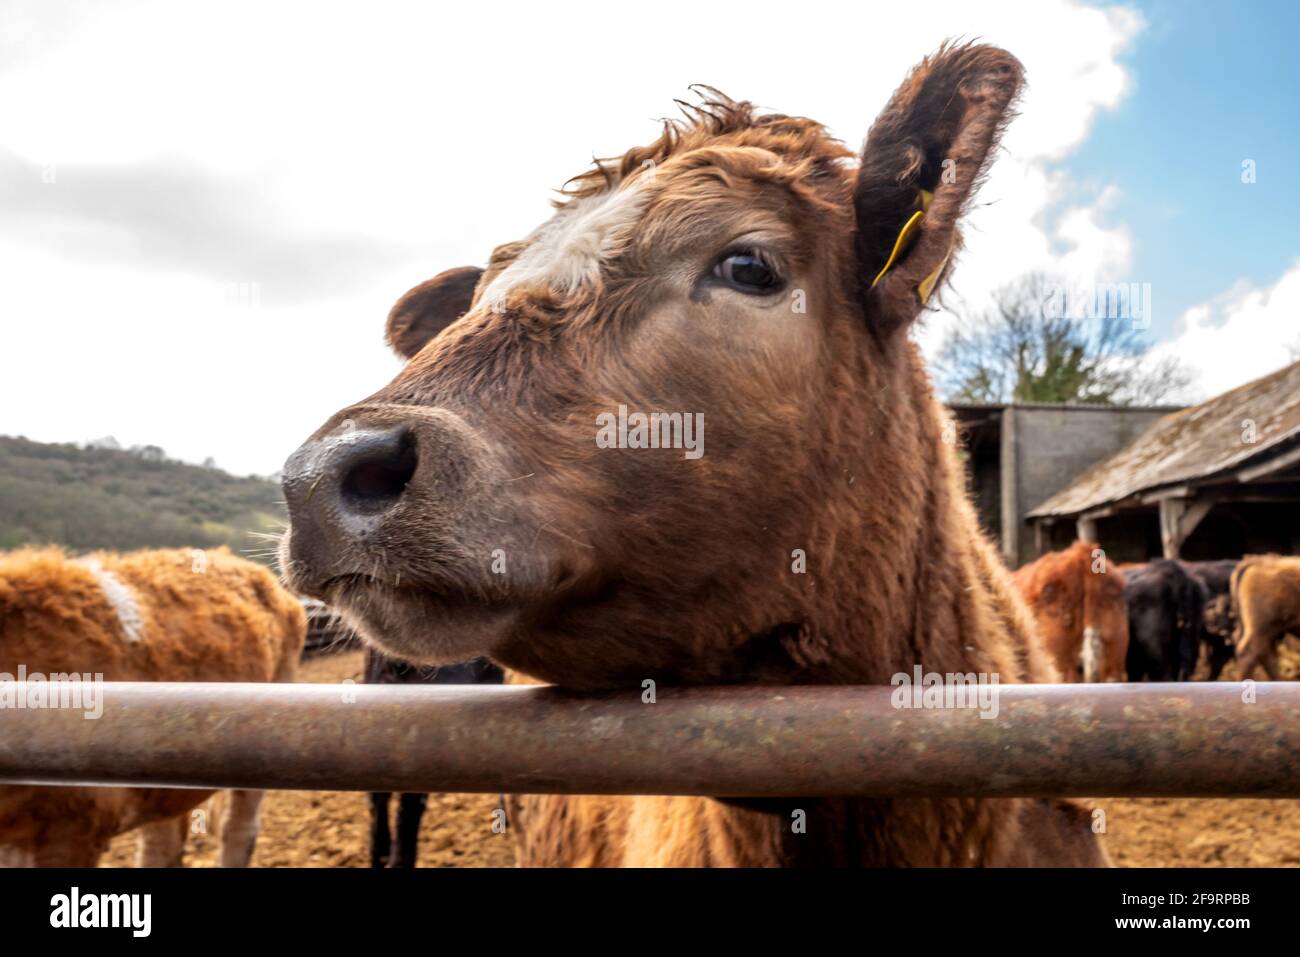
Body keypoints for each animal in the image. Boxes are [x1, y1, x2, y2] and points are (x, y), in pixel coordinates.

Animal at [364, 649, 503, 867]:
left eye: (489, 669)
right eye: (399, 667)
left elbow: (410, 802)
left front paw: (398, 861)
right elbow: (378, 796)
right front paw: (380, 855)